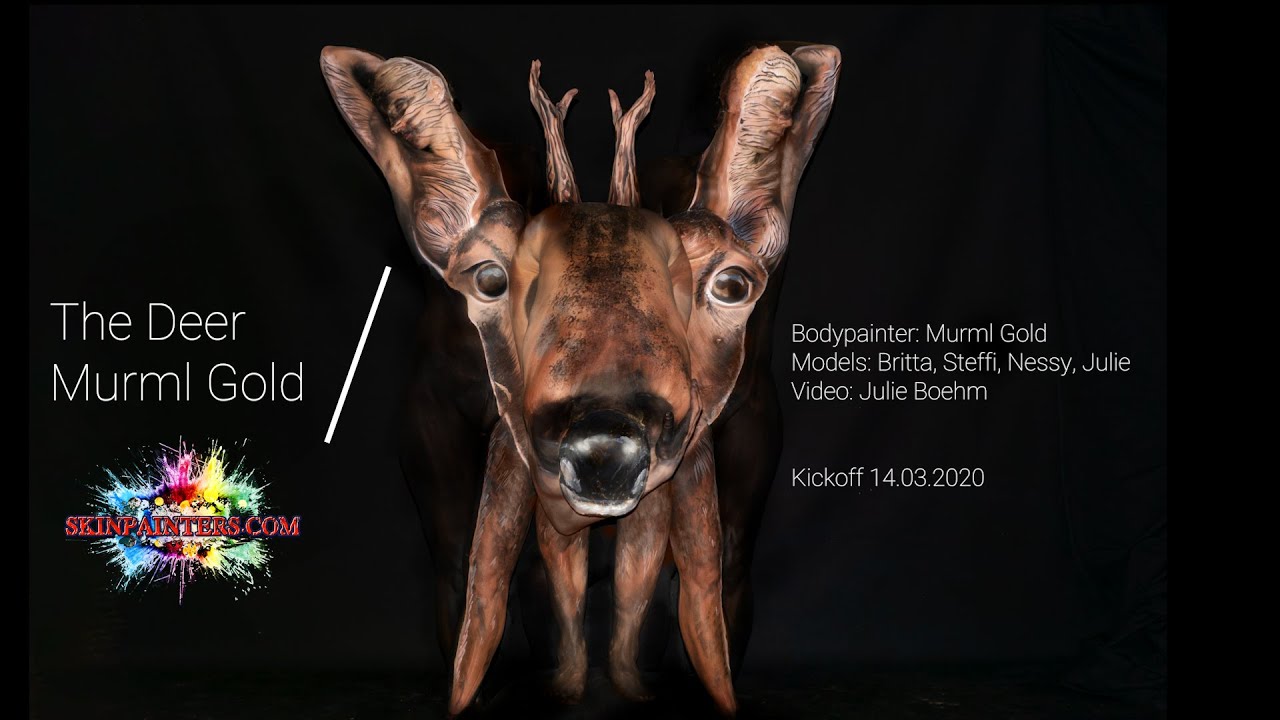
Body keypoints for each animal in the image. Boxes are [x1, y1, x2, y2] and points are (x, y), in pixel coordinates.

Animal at [320, 41, 840, 716]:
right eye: (489, 278)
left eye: (731, 284)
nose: (604, 443)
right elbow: (505, 581)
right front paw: (556, 688)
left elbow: (654, 586)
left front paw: (632, 687)